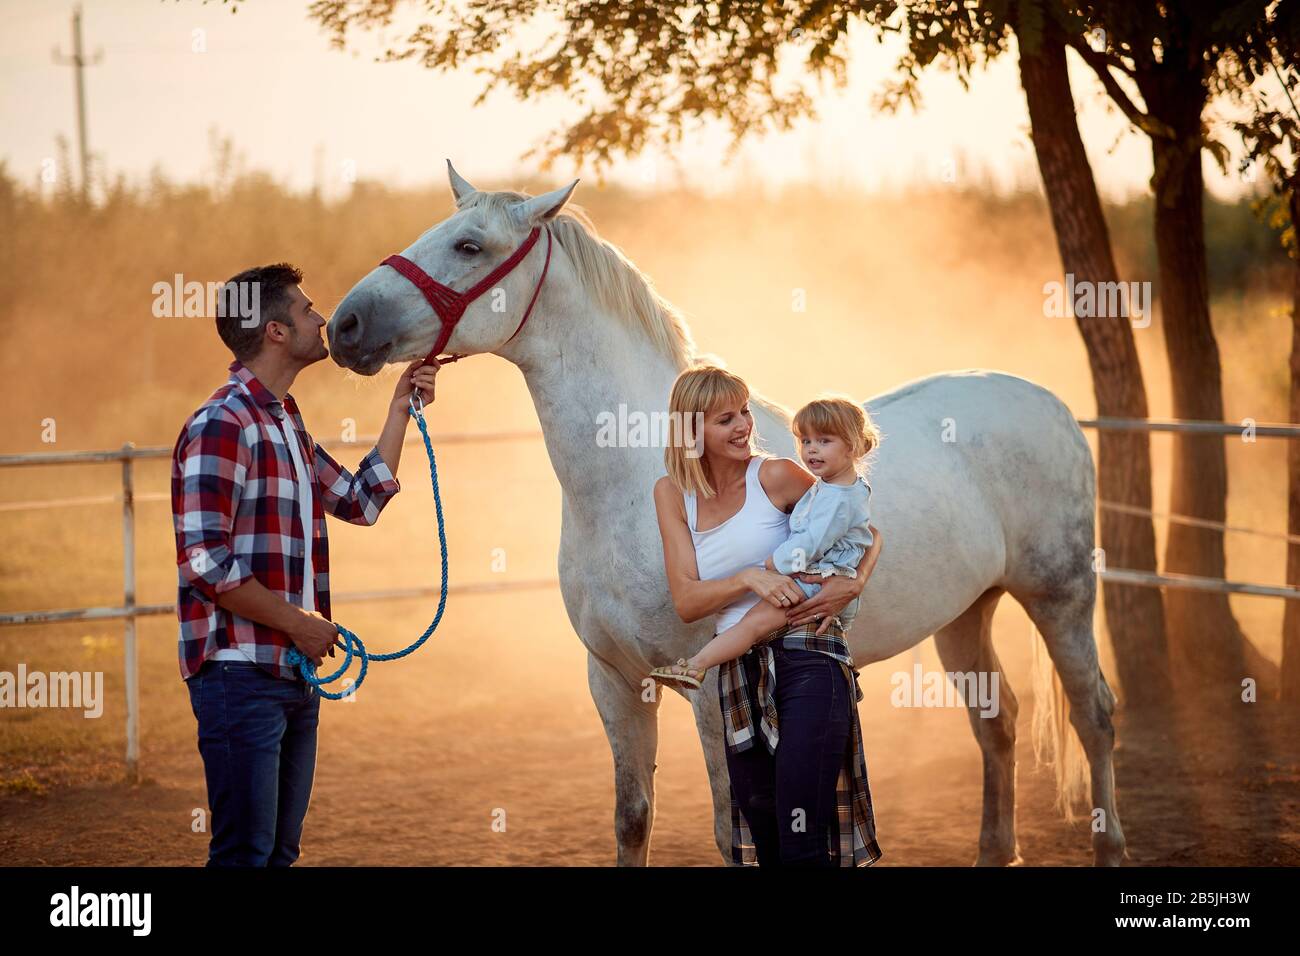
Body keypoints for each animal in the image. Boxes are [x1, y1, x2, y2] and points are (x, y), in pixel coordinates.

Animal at [326, 163, 1126, 867]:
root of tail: (1050, 403)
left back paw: (1110, 846)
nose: (346, 325)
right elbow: (632, 818)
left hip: (1059, 598)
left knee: (1093, 715)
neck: (637, 484)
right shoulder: (613, 681)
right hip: (966, 613)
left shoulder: (713, 693)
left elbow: (730, 830)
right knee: (998, 724)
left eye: (469, 245)